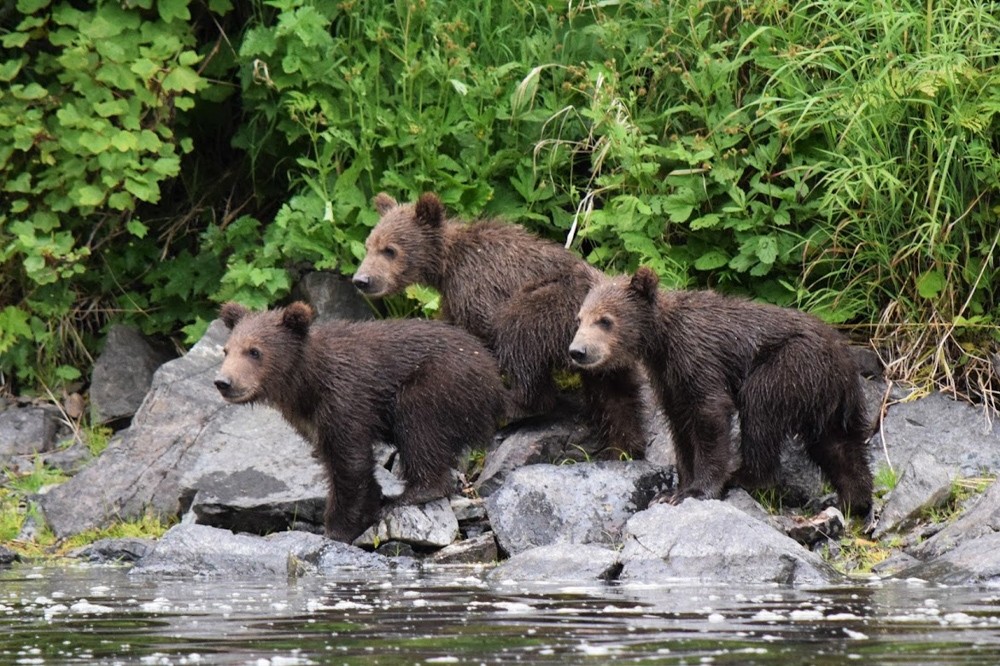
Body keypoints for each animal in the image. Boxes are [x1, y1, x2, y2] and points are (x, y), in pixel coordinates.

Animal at [214, 301, 506, 543]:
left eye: (254, 351)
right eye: (227, 350)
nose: (223, 382)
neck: (306, 386)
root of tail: (493, 374)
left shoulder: (346, 399)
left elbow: (350, 463)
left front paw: (339, 528)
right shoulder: (314, 422)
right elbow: (334, 461)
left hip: (439, 384)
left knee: (420, 427)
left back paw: (409, 494)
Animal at [351, 192, 649, 459]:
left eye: (390, 250)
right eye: (368, 246)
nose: (361, 280)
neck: (446, 266)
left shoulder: (476, 286)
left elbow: (478, 336)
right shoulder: (452, 298)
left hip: (556, 310)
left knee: (520, 336)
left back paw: (511, 404)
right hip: (603, 348)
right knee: (617, 395)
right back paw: (624, 447)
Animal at [568, 266, 874, 517]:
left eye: (605, 320)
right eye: (580, 319)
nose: (577, 351)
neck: (660, 341)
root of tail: (844, 354)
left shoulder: (697, 357)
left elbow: (710, 413)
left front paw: (697, 490)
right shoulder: (669, 378)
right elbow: (680, 425)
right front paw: (672, 491)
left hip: (789, 365)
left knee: (760, 411)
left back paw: (745, 476)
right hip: (829, 396)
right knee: (839, 444)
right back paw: (853, 501)